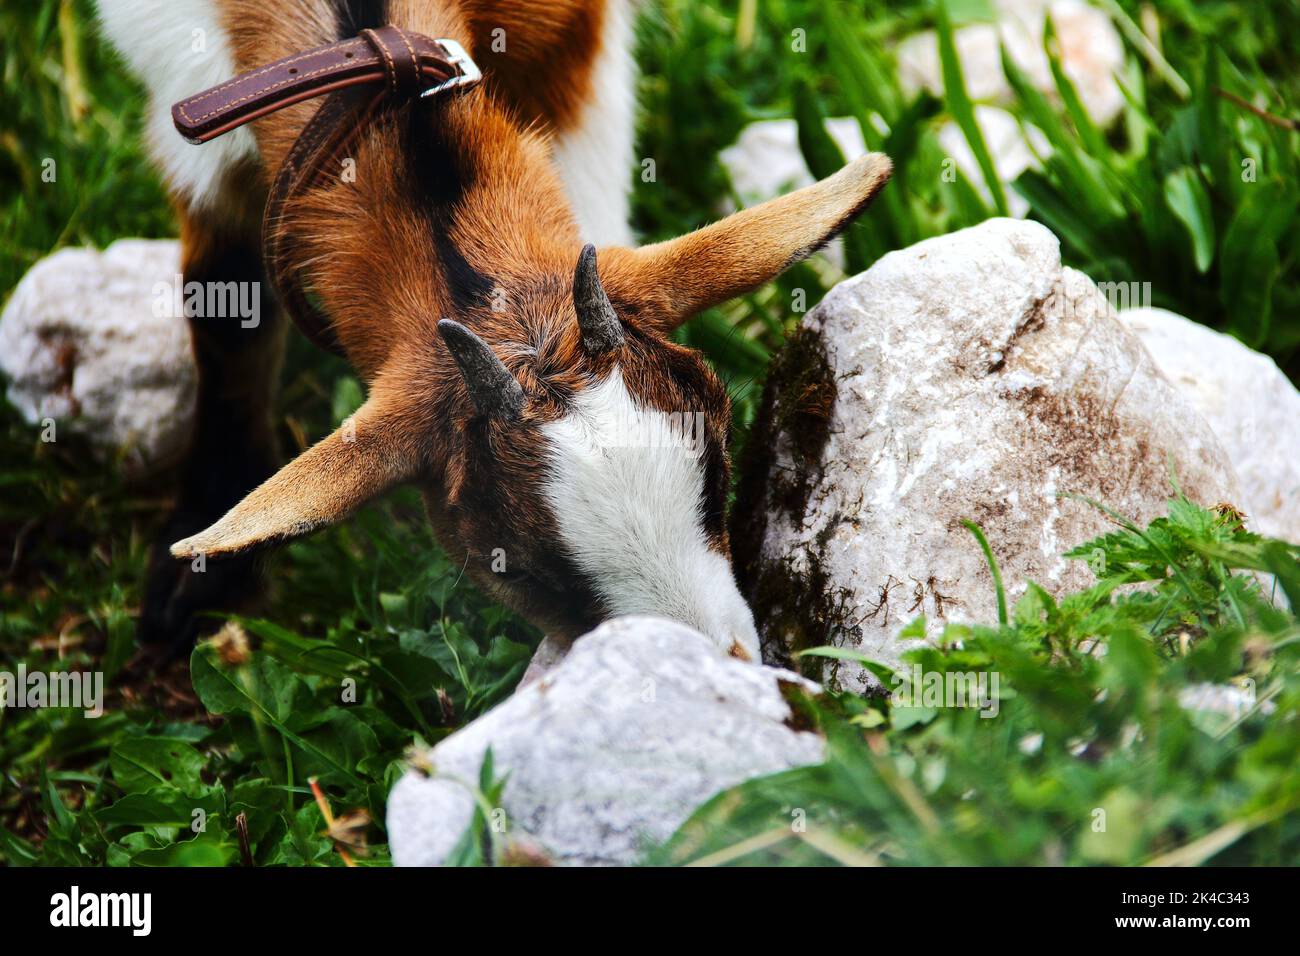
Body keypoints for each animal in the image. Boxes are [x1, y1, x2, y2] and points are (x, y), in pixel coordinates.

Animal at [96, 0, 891, 661]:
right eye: (514, 566)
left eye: (720, 466)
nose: (724, 665)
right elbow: (225, 304)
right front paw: (196, 582)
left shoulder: (581, 44)